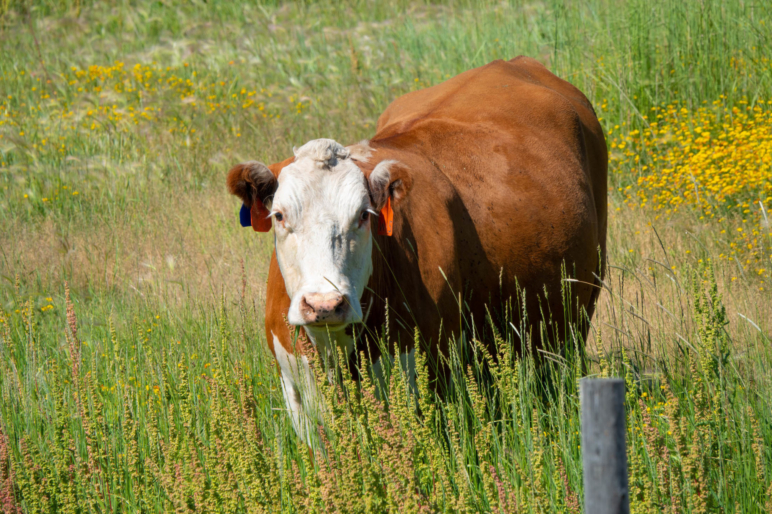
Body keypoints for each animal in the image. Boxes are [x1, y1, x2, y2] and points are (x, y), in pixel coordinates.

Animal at [227, 56, 607, 443]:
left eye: (363, 215)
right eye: (279, 215)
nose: (325, 304)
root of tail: (513, 63)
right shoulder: (296, 390)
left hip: (579, 309)